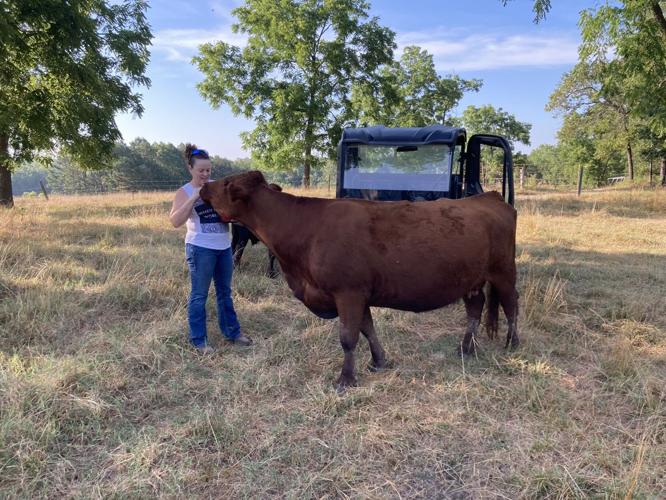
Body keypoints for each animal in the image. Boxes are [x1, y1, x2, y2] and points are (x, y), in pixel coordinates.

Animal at [200, 171, 519, 391]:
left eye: (227, 183)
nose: (203, 186)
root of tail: (489, 196)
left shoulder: (348, 292)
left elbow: (348, 337)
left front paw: (345, 379)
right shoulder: (360, 294)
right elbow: (368, 329)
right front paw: (379, 361)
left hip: (504, 271)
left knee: (511, 305)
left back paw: (512, 343)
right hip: (471, 279)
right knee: (476, 307)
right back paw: (466, 348)